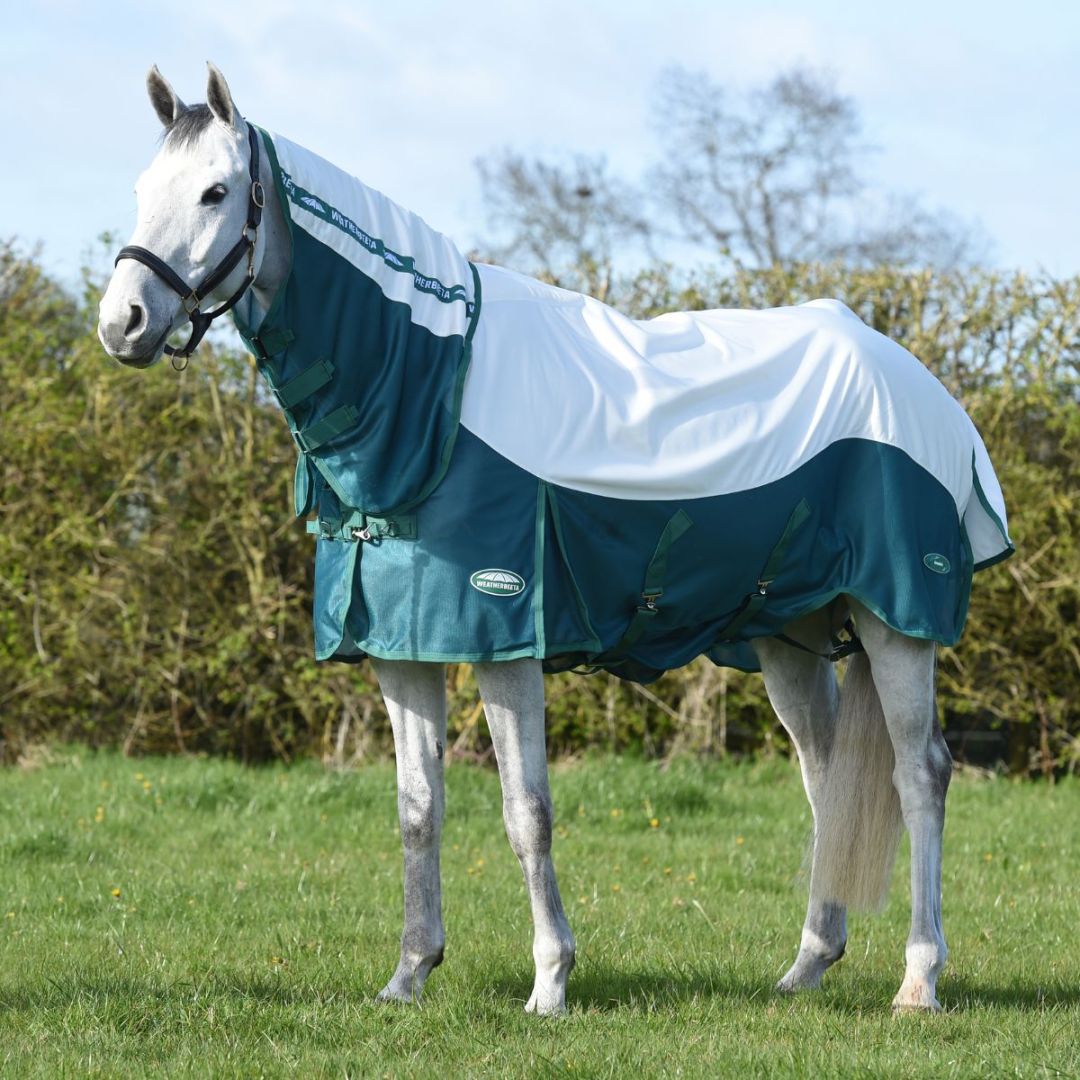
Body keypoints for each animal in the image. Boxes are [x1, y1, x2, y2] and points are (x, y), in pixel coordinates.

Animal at [98, 64, 1012, 1016]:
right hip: (789, 636)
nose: (122, 322)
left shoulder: (505, 644)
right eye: (142, 189)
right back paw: (806, 964)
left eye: (215, 191)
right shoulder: (403, 652)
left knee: (921, 774)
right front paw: (409, 974)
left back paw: (918, 979)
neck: (432, 393)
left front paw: (550, 981)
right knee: (827, 776)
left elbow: (525, 812)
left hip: (896, 625)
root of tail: (927, 394)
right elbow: (417, 809)